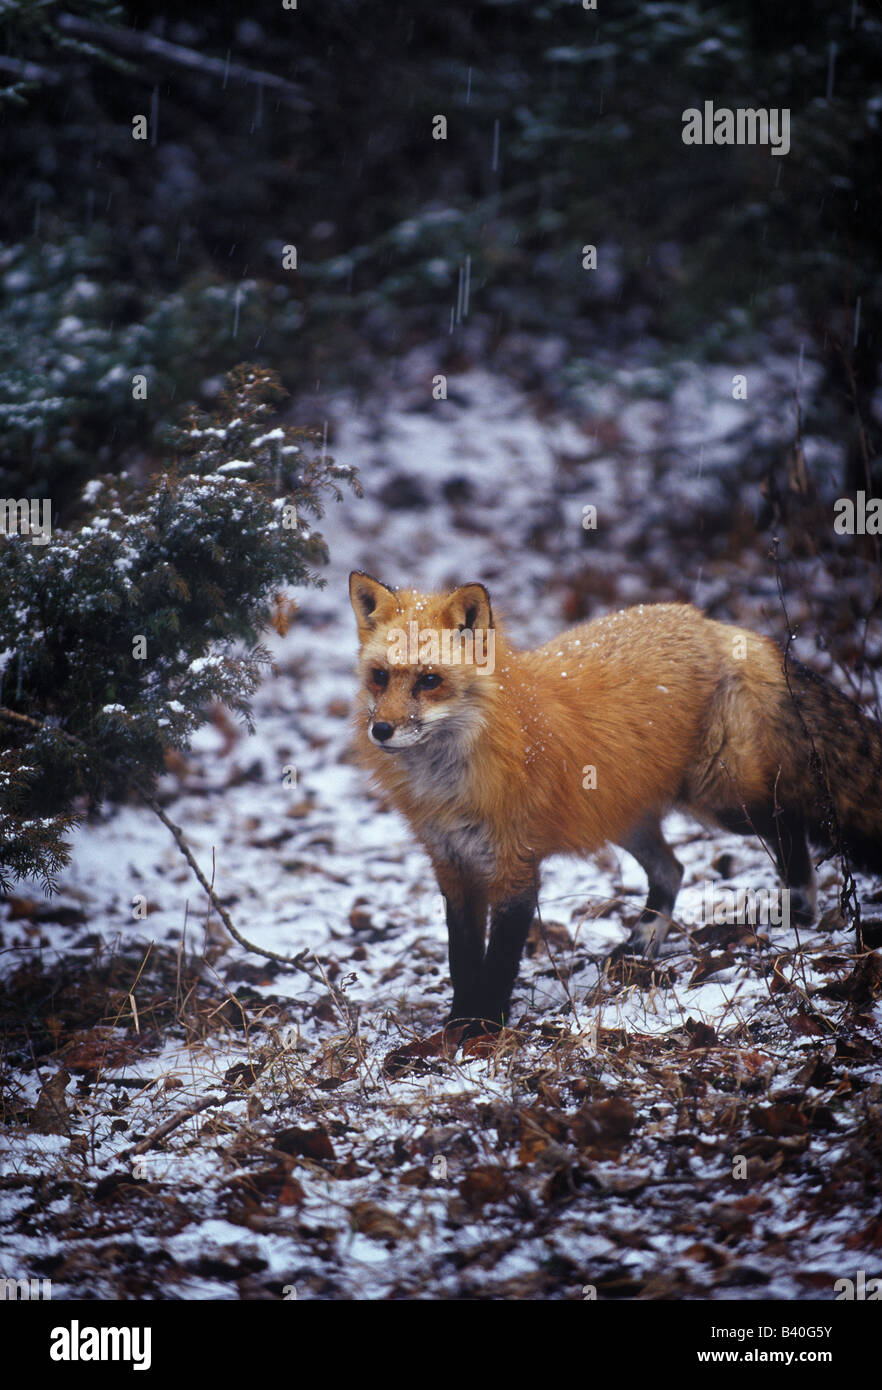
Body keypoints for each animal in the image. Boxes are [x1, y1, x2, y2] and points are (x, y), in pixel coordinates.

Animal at [349, 571, 882, 1035]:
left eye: (429, 681)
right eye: (380, 677)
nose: (382, 730)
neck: (449, 787)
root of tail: (711, 623)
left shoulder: (516, 868)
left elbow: (498, 961)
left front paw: (483, 1029)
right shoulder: (452, 866)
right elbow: (461, 959)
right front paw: (458, 1023)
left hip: (721, 801)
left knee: (789, 823)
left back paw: (800, 911)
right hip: (626, 817)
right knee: (673, 870)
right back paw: (645, 941)